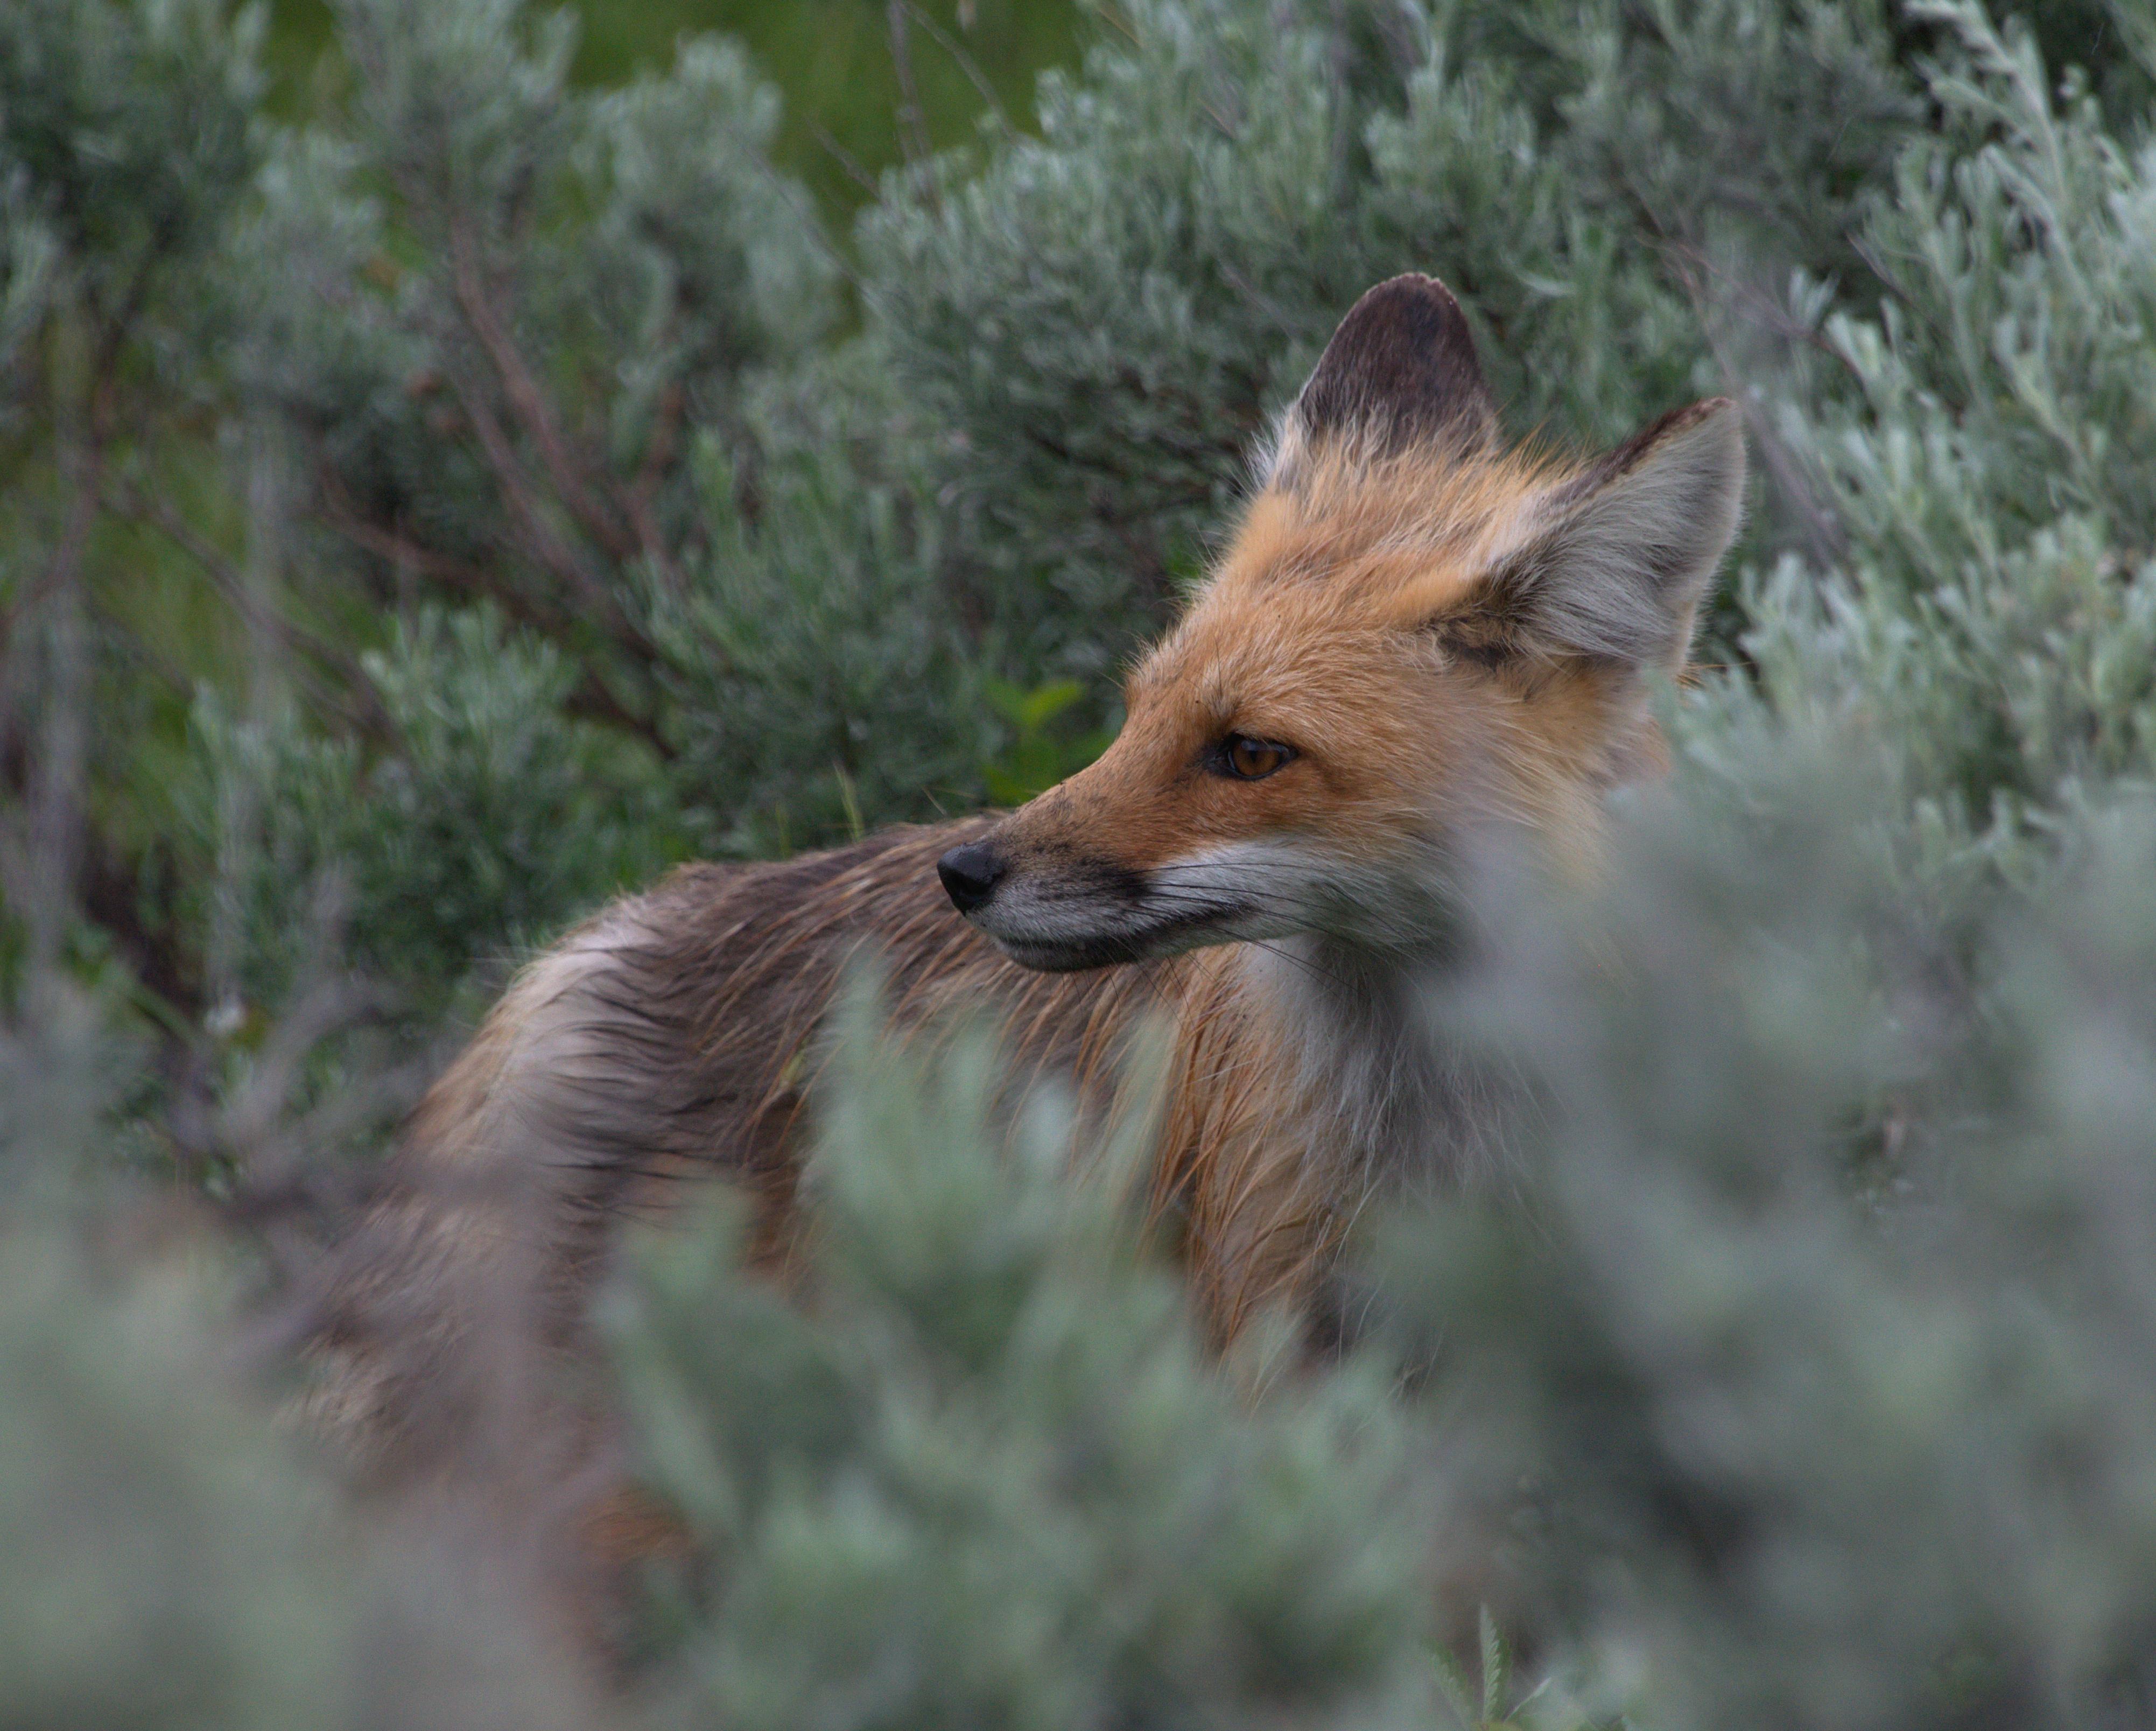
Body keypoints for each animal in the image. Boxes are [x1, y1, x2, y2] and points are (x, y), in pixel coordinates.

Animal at [316, 274, 1744, 1487]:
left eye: (1248, 753)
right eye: (1135, 711)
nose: (964, 870)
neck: (1446, 1137)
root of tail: (581, 953)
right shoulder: (1288, 1384)